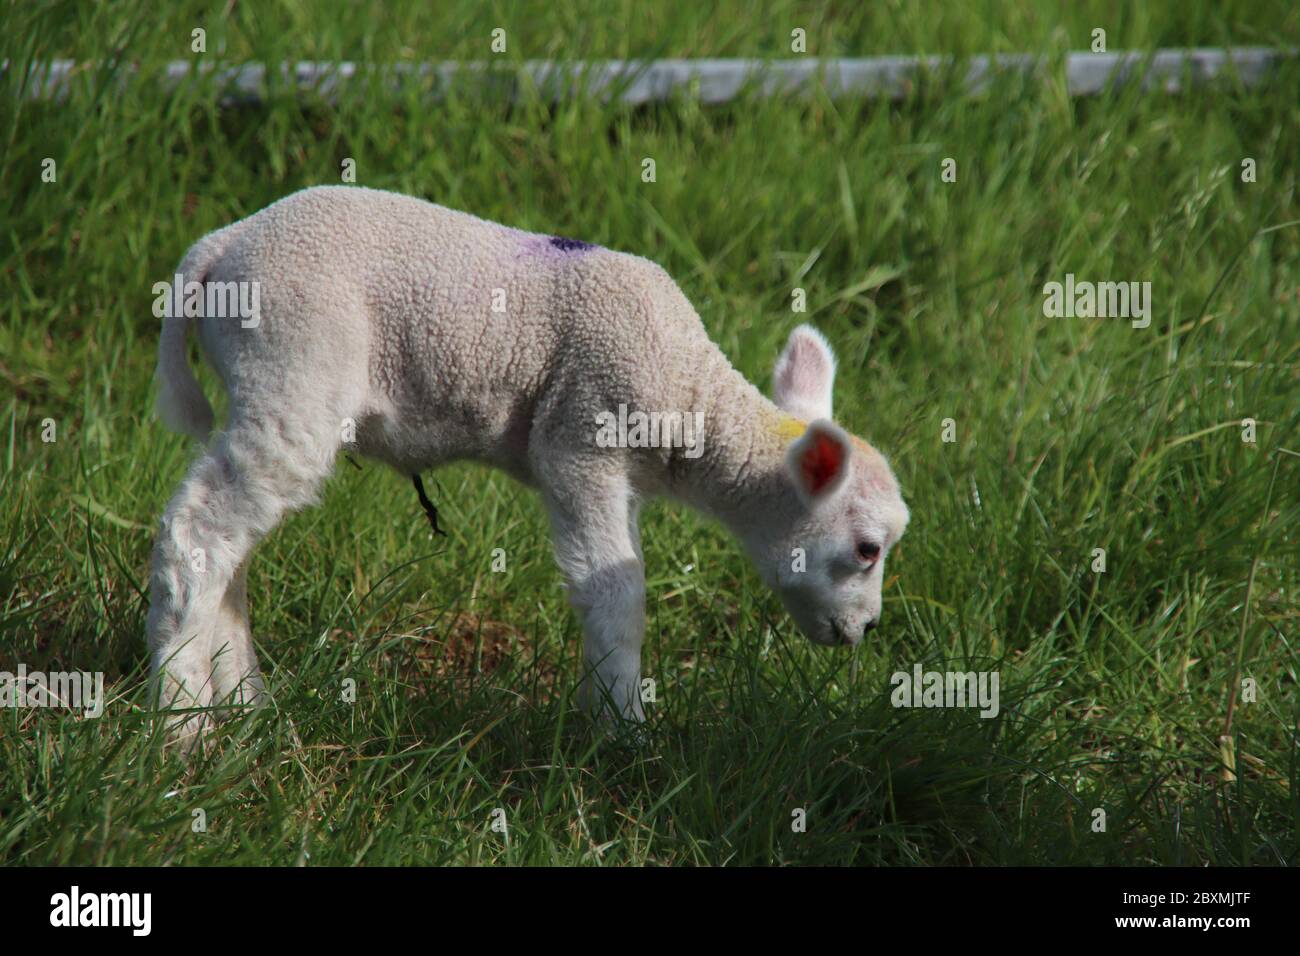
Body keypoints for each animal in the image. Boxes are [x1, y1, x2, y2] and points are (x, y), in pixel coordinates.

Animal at [149, 185, 909, 744]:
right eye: (867, 549)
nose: (867, 631)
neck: (688, 391)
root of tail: (223, 244)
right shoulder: (581, 440)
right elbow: (616, 593)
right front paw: (625, 737)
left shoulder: (621, 476)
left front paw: (607, 716)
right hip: (292, 362)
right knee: (198, 533)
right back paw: (183, 726)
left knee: (232, 544)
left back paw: (242, 704)